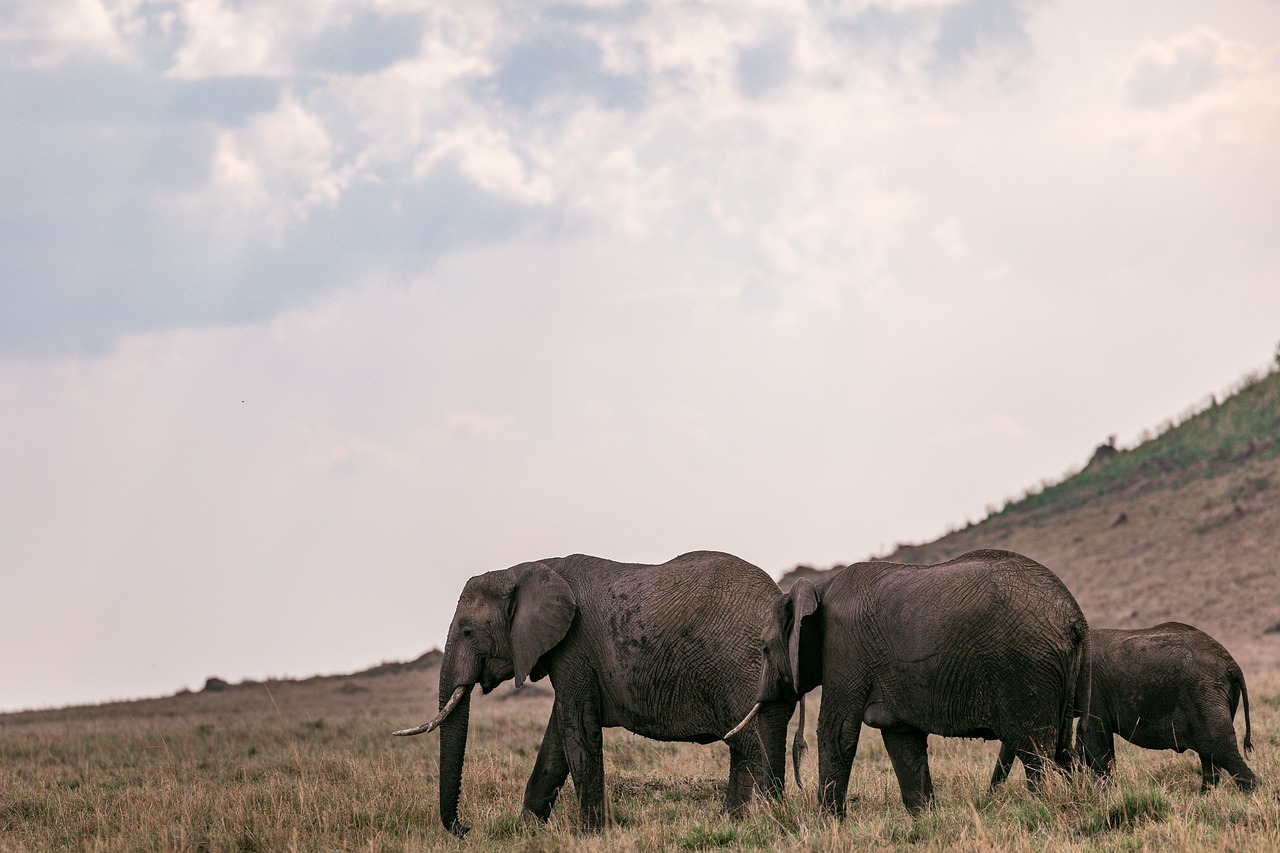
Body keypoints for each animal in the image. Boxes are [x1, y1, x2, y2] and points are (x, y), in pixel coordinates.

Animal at [393, 551, 800, 836]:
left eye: (467, 632)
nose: (465, 828)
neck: (531, 568)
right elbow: (556, 738)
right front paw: (525, 830)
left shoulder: (574, 647)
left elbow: (576, 728)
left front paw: (591, 834)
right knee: (746, 746)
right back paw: (734, 823)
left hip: (741, 667)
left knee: (753, 744)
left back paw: (773, 822)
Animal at [729, 549, 1090, 817]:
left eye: (764, 649)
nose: (778, 811)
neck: (820, 587)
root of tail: (1076, 616)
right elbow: (900, 735)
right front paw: (925, 819)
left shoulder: (845, 650)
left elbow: (838, 730)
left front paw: (826, 823)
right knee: (1063, 747)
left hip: (1028, 666)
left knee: (1036, 749)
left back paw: (1044, 809)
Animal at [1072, 622, 1256, 792]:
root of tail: (1231, 663)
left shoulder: (1093, 690)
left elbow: (1094, 740)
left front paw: (1105, 794)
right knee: (1209, 755)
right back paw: (1206, 796)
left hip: (1205, 692)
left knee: (1219, 747)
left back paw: (1248, 792)